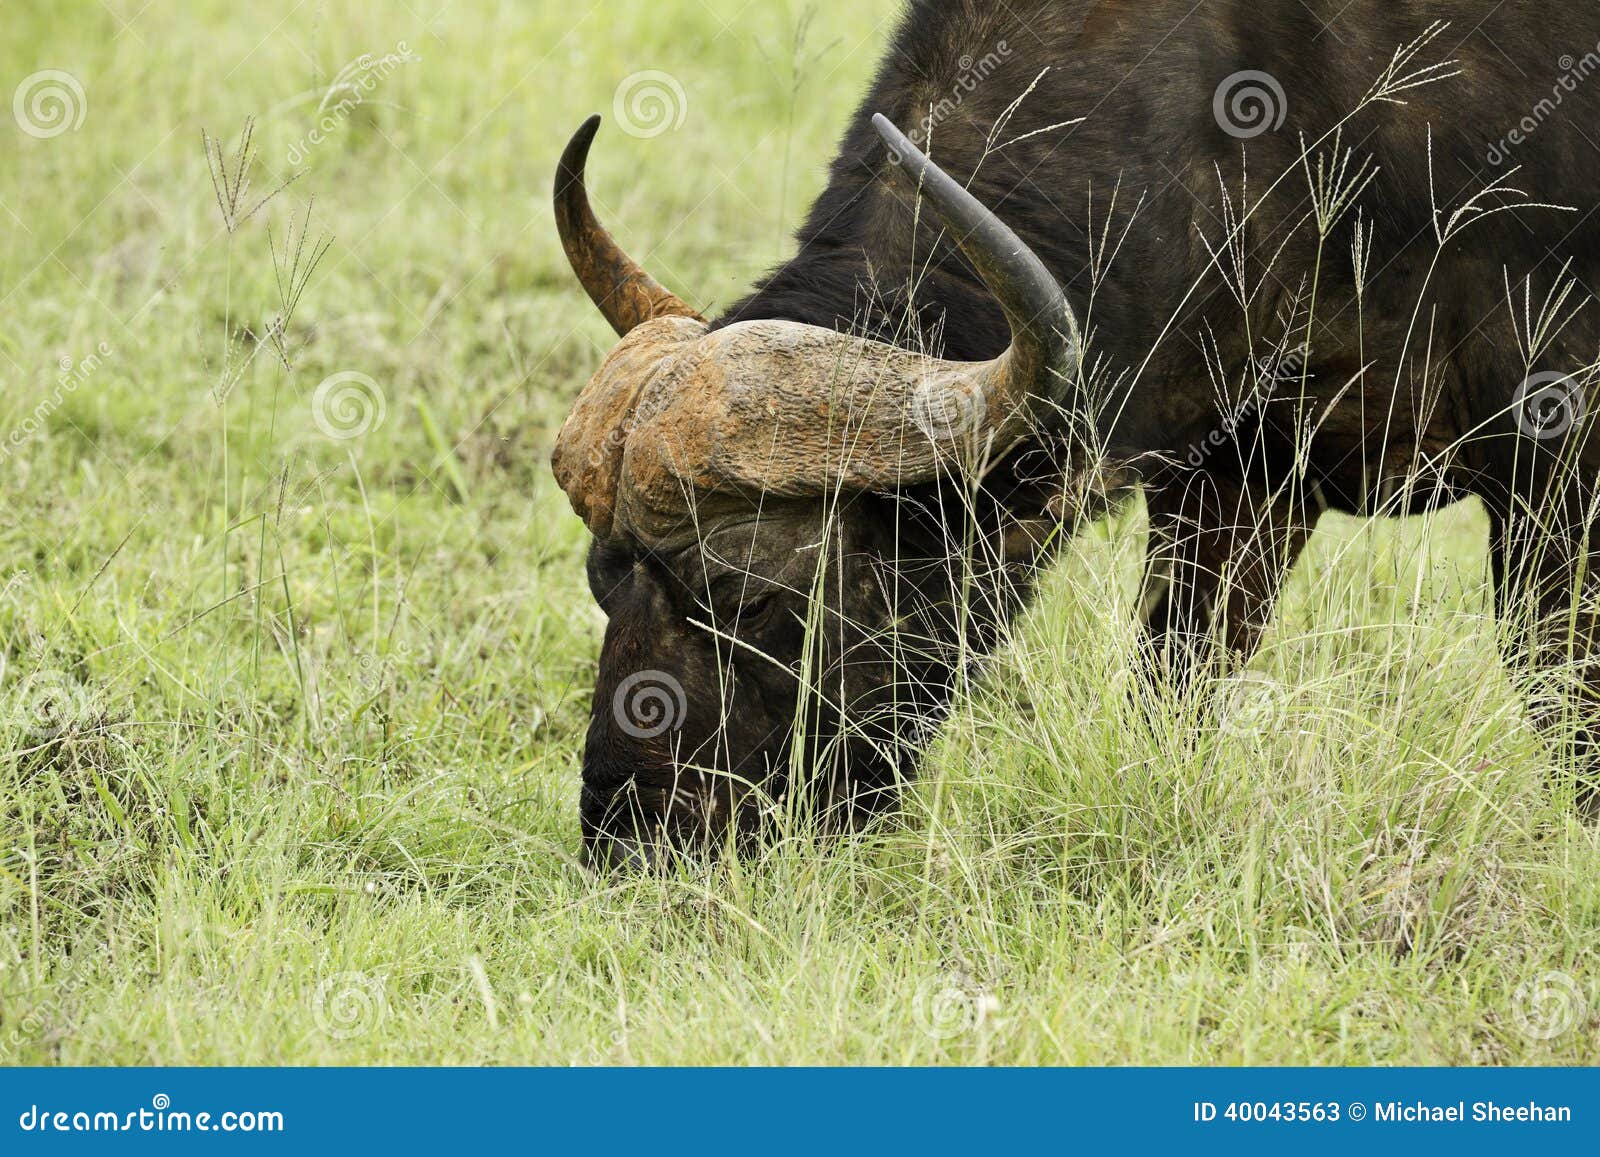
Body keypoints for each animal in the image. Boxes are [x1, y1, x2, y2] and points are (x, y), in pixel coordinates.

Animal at [551, 0, 1600, 868]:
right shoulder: (1238, 476)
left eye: (756, 595)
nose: (630, 835)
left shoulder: (1559, 465)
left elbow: (1565, 693)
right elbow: (1175, 677)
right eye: (601, 576)